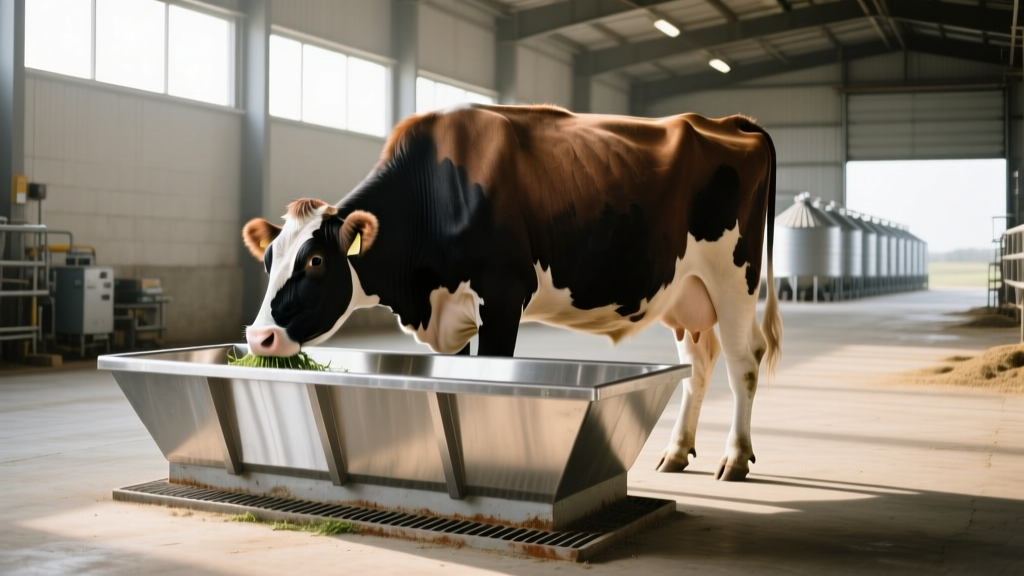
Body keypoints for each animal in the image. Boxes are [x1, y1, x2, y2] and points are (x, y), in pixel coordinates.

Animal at [242, 104, 781, 481]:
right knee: (699, 363)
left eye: (315, 261)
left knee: (743, 361)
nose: (259, 338)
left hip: (734, 277)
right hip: (686, 292)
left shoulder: (502, 296)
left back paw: (735, 458)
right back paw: (676, 452)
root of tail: (730, 122)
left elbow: (494, 375)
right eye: (267, 260)